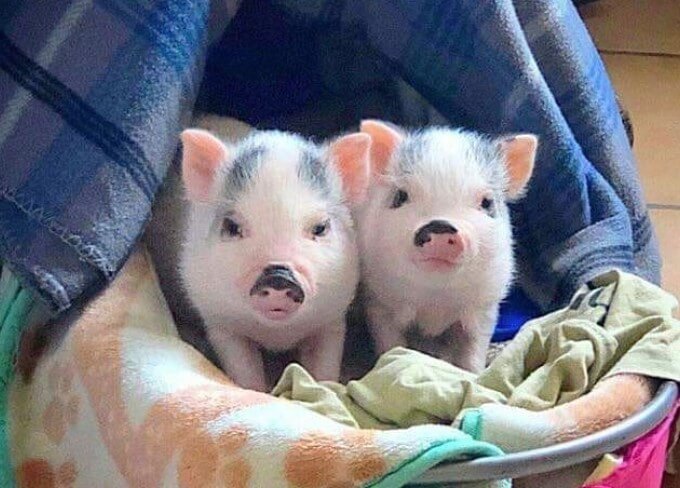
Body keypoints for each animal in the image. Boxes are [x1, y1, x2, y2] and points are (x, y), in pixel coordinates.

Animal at [178, 127, 371, 390]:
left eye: (320, 228)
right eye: (231, 226)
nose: (278, 275)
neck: (277, 335)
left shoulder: (331, 319)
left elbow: (324, 366)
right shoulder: (221, 323)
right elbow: (244, 370)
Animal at [355, 120, 537, 373]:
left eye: (486, 202)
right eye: (400, 196)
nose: (440, 225)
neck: (437, 299)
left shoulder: (485, 307)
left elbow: (473, 350)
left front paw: (475, 375)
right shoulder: (380, 302)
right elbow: (391, 343)